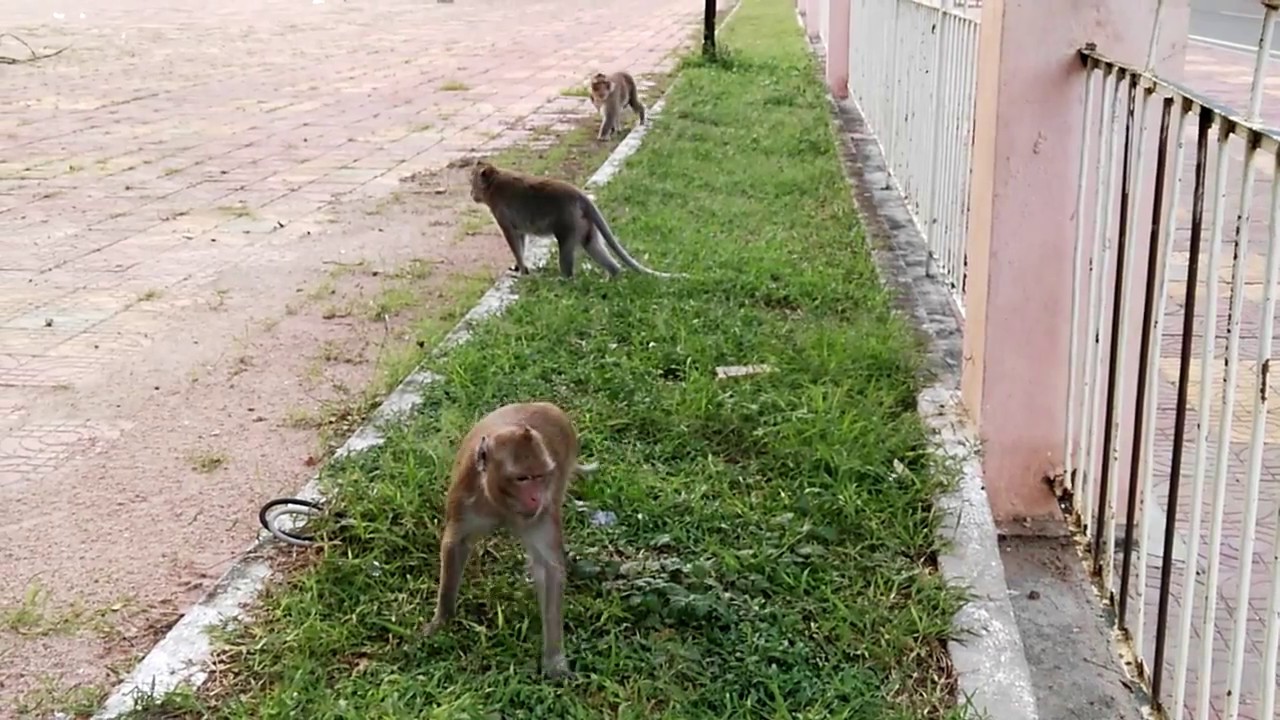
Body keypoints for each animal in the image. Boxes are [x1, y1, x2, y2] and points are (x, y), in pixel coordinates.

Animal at [423, 401, 598, 680]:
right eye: (522, 478)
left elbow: (549, 569)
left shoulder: (543, 509)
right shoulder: (465, 496)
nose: (537, 497)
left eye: (541, 476)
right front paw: (443, 620)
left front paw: (554, 661)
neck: (501, 505)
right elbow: (456, 545)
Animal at [469, 160, 684, 279]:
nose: (471, 193)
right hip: (584, 224)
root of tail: (580, 196)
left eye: (472, 182)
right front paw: (520, 266)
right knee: (591, 245)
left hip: (569, 223)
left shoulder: (502, 214)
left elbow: (513, 238)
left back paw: (565, 280)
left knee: (565, 247)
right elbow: (520, 237)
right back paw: (614, 274)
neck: (494, 183)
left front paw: (522, 270)